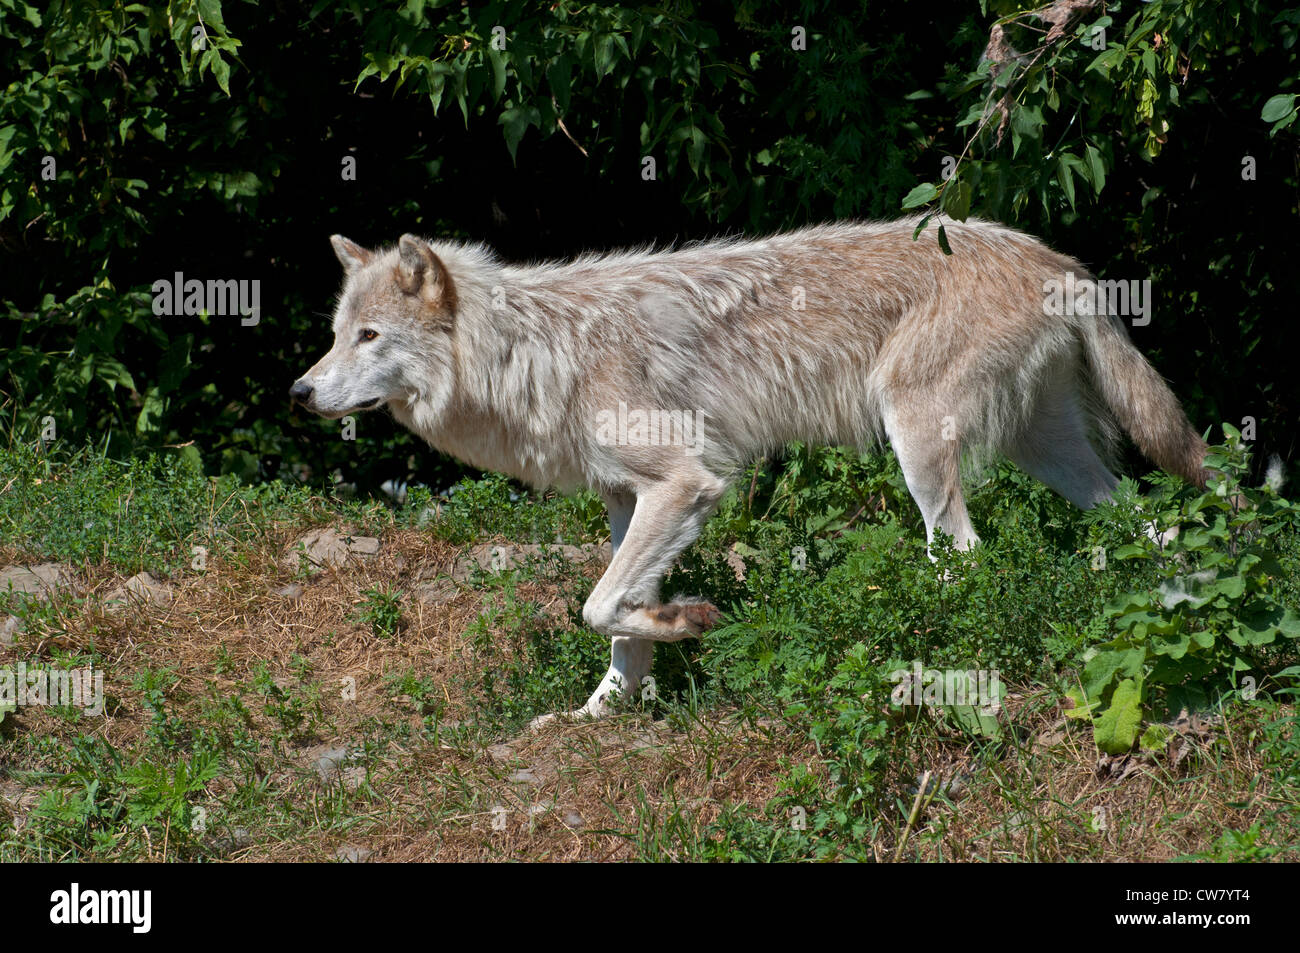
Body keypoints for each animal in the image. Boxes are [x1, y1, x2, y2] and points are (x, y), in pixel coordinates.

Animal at [290, 218, 1208, 723]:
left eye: (369, 337)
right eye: (336, 334)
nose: (299, 392)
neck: (537, 356)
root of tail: (1058, 260)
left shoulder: (687, 482)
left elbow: (596, 606)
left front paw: (693, 621)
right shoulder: (629, 500)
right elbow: (619, 622)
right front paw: (600, 713)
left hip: (916, 439)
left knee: (964, 555)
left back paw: (916, 637)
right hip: (1054, 458)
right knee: (1146, 520)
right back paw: (1179, 593)